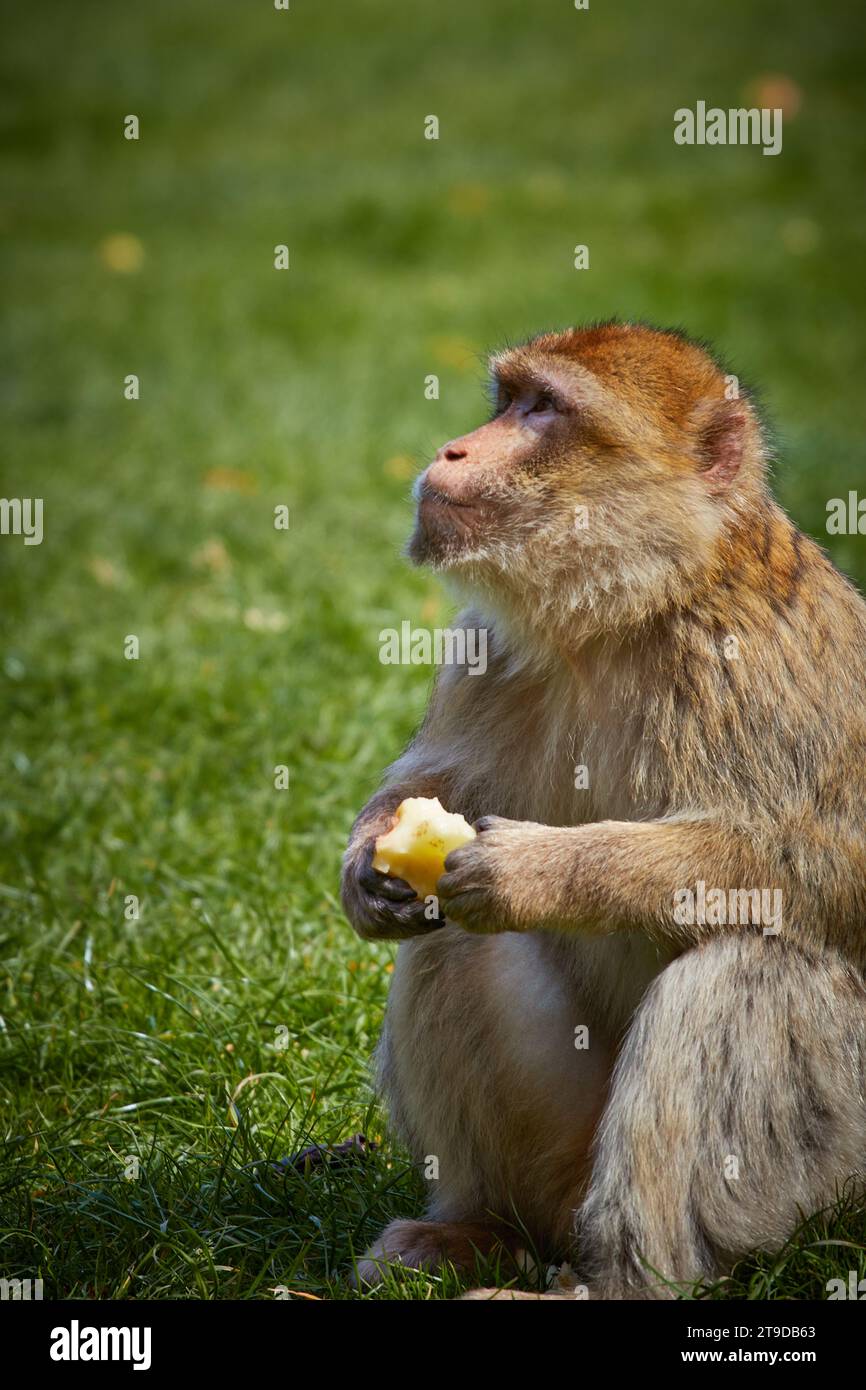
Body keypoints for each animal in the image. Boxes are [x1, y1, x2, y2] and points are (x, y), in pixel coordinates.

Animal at [340, 321, 866, 1299]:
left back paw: (626, 1276)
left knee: (742, 966)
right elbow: (438, 785)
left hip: (830, 1175)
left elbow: (821, 875)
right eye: (507, 400)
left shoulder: (758, 667)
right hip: (568, 1161)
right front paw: (368, 866)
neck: (626, 613)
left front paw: (545, 869)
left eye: (545, 409)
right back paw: (481, 1226)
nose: (454, 448)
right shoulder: (489, 649)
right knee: (451, 943)